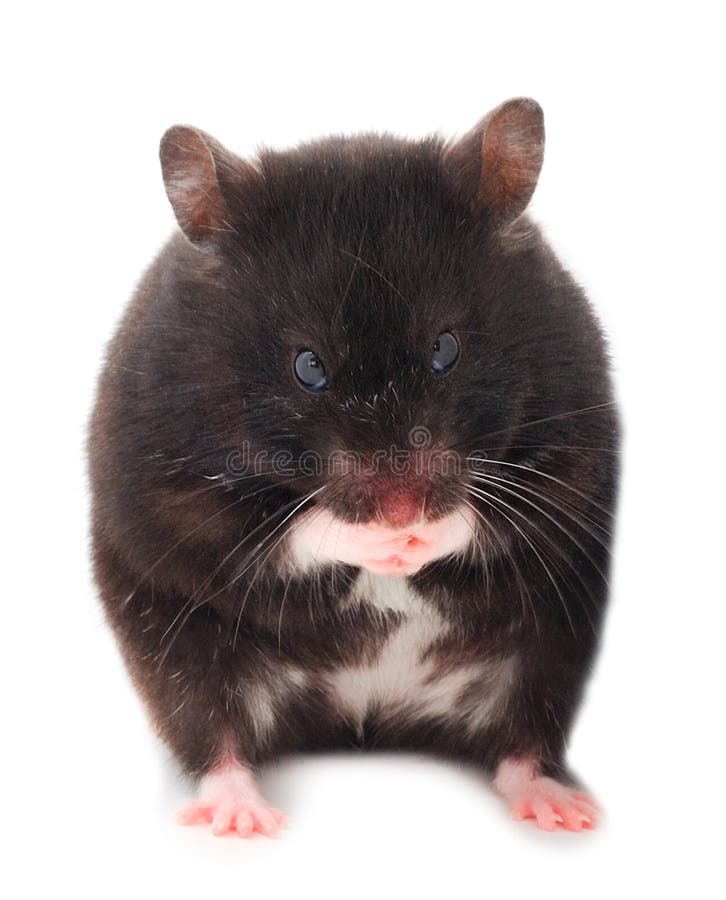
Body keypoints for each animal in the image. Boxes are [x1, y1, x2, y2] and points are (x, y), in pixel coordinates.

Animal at [88, 97, 618, 837]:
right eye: (308, 367)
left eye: (446, 350)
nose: (400, 508)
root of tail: (366, 715)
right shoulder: (174, 494)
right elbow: (286, 531)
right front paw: (386, 544)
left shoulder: (573, 456)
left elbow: (500, 515)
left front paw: (415, 538)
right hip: (175, 653)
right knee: (212, 729)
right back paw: (241, 818)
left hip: (549, 653)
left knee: (522, 736)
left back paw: (559, 809)